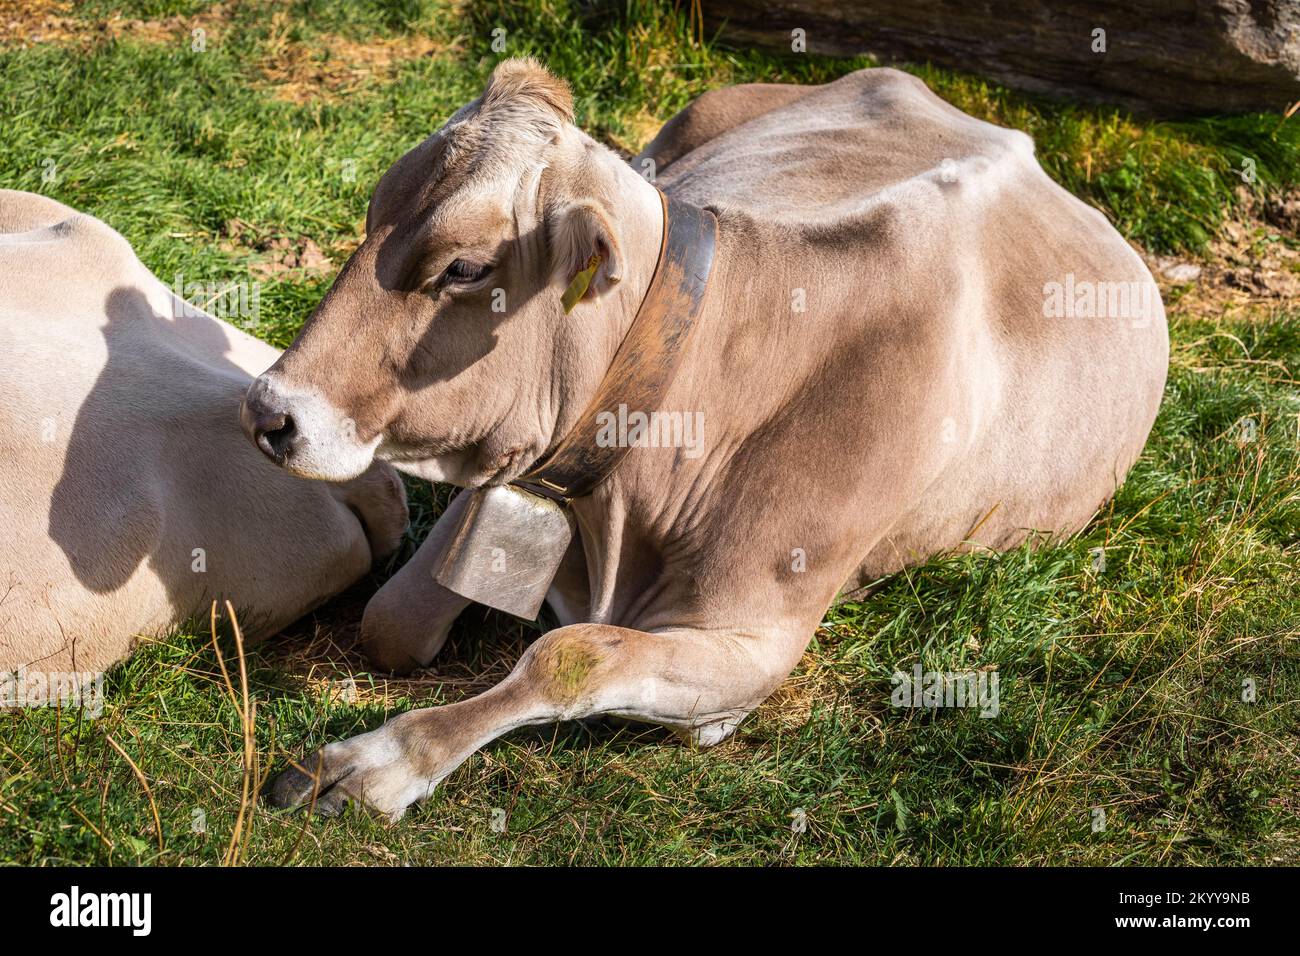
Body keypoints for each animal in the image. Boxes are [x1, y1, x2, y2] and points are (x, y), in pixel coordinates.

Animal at [242, 60, 1169, 818]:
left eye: (464, 268)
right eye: (372, 212)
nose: (268, 412)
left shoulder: (760, 640)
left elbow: (570, 656)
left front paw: (380, 761)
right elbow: (394, 620)